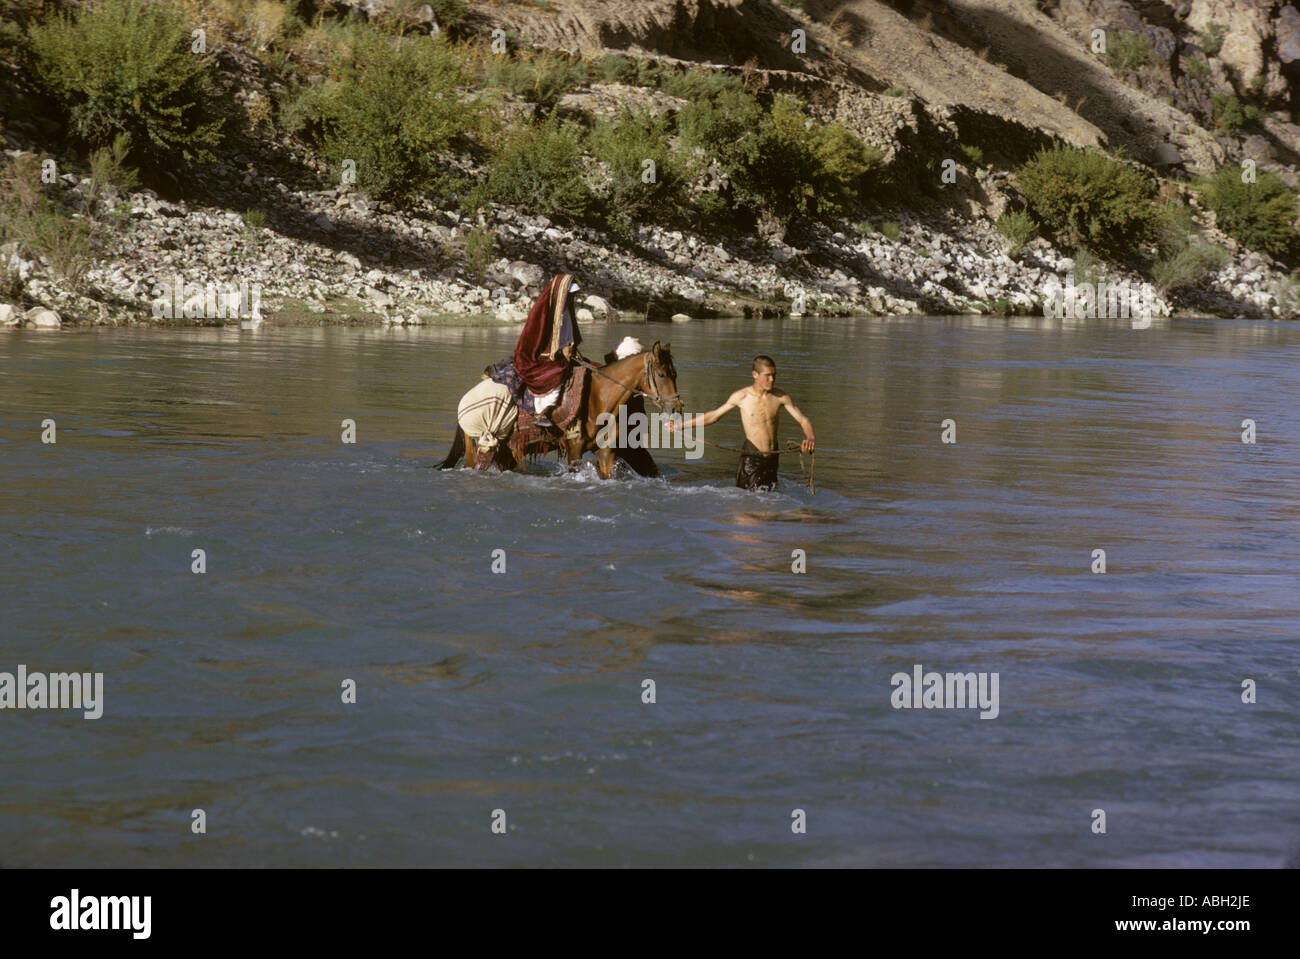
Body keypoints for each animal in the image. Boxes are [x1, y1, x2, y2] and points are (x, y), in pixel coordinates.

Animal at [437, 341, 681, 479]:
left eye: (675, 374)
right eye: (661, 374)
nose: (676, 407)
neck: (599, 397)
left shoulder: (607, 452)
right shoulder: (574, 450)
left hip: (506, 452)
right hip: (479, 449)